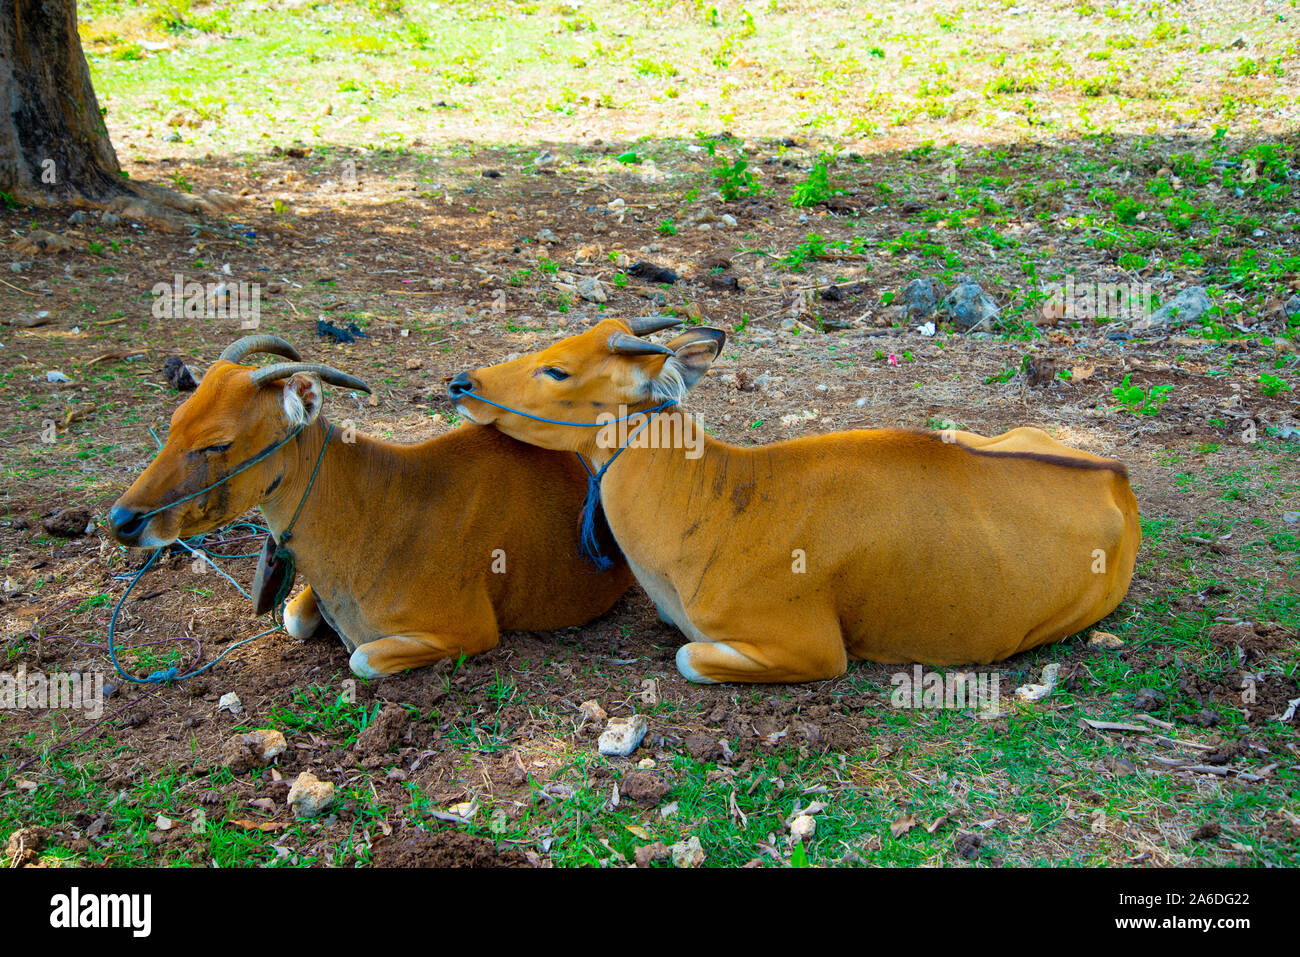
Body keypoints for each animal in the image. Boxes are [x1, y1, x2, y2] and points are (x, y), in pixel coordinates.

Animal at [107, 335, 632, 678]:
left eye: (218, 444)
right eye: (174, 421)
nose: (122, 520)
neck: (379, 507)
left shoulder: (471, 631)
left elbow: (360, 658)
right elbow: (292, 617)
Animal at [449, 317, 1142, 684]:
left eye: (558, 369)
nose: (463, 381)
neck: (719, 506)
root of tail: (1117, 475)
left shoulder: (809, 649)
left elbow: (688, 655)